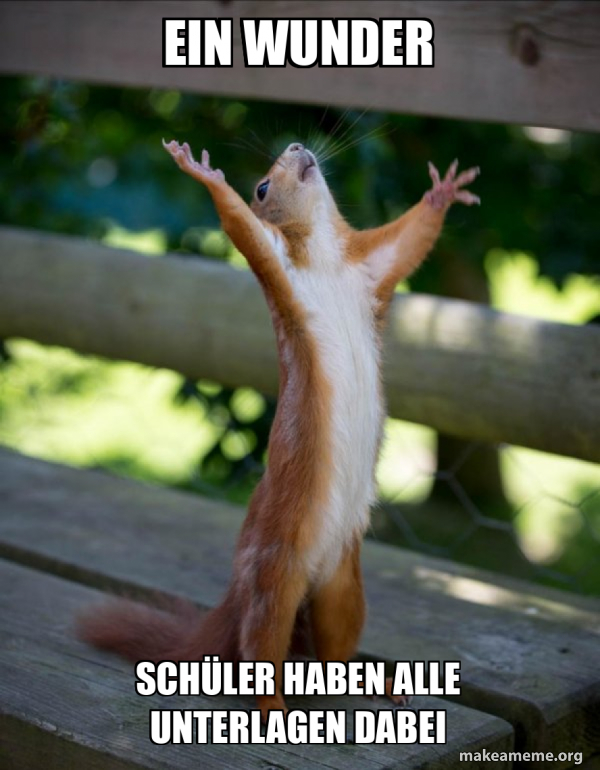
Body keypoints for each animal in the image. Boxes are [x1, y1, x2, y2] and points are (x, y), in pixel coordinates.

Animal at [78, 138, 479, 720]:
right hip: (273, 579)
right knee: (260, 649)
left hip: (343, 588)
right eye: (262, 187)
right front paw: (204, 173)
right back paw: (275, 710)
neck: (327, 259)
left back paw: (375, 682)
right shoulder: (277, 265)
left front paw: (443, 192)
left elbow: (410, 240)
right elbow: (240, 226)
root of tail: (240, 590)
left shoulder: (371, 267)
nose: (296, 146)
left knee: (335, 650)